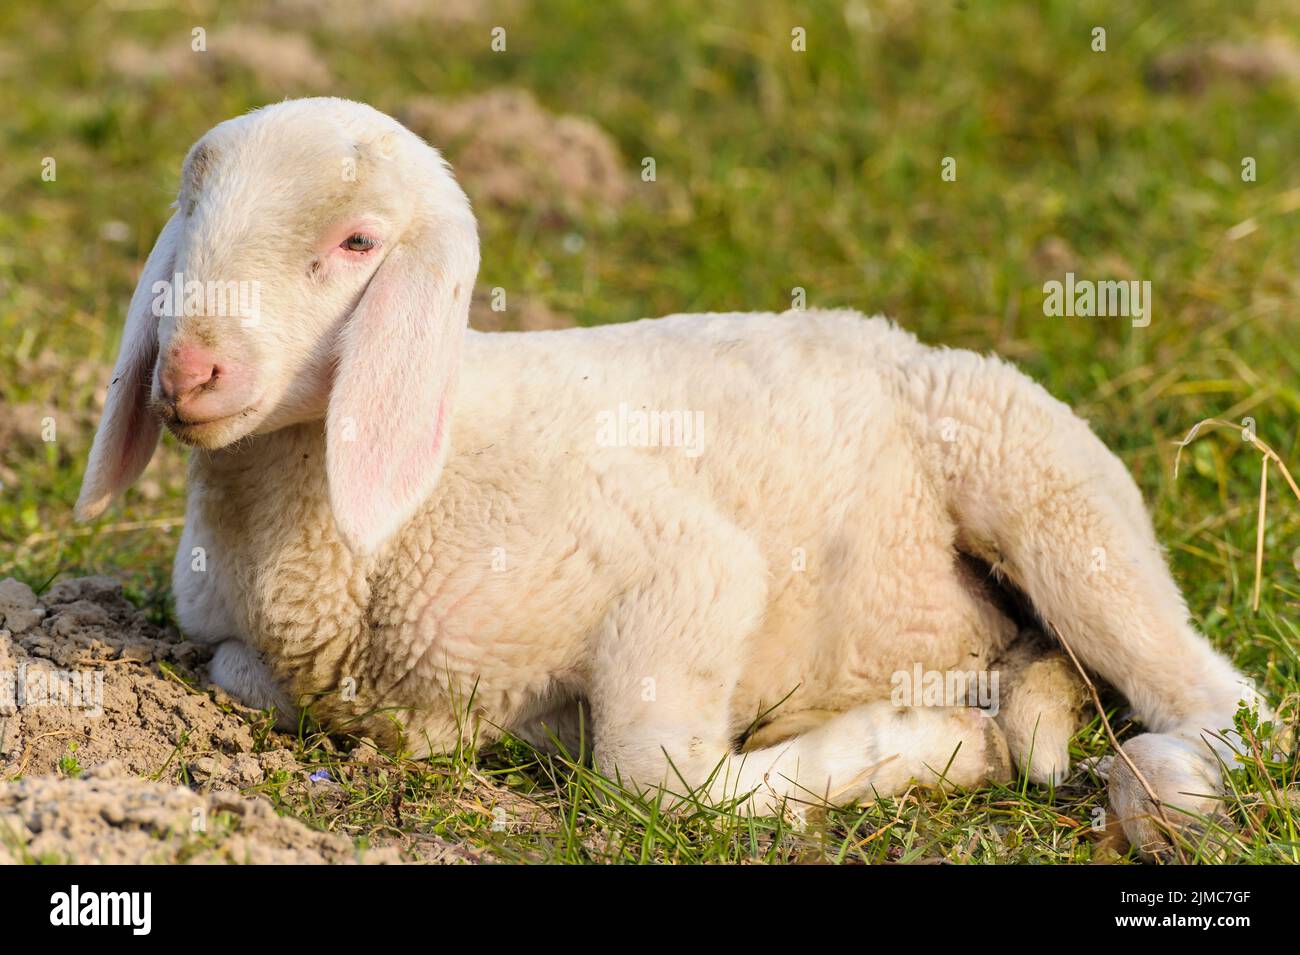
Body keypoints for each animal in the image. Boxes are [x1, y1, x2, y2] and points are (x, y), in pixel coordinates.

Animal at [76, 97, 1263, 860]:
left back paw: (1163, 793)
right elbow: (249, 677)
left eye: (359, 242)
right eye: (187, 220)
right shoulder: (237, 647)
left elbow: (658, 777)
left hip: (1048, 493)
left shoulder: (688, 564)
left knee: (1216, 695)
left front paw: (935, 747)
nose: (187, 373)